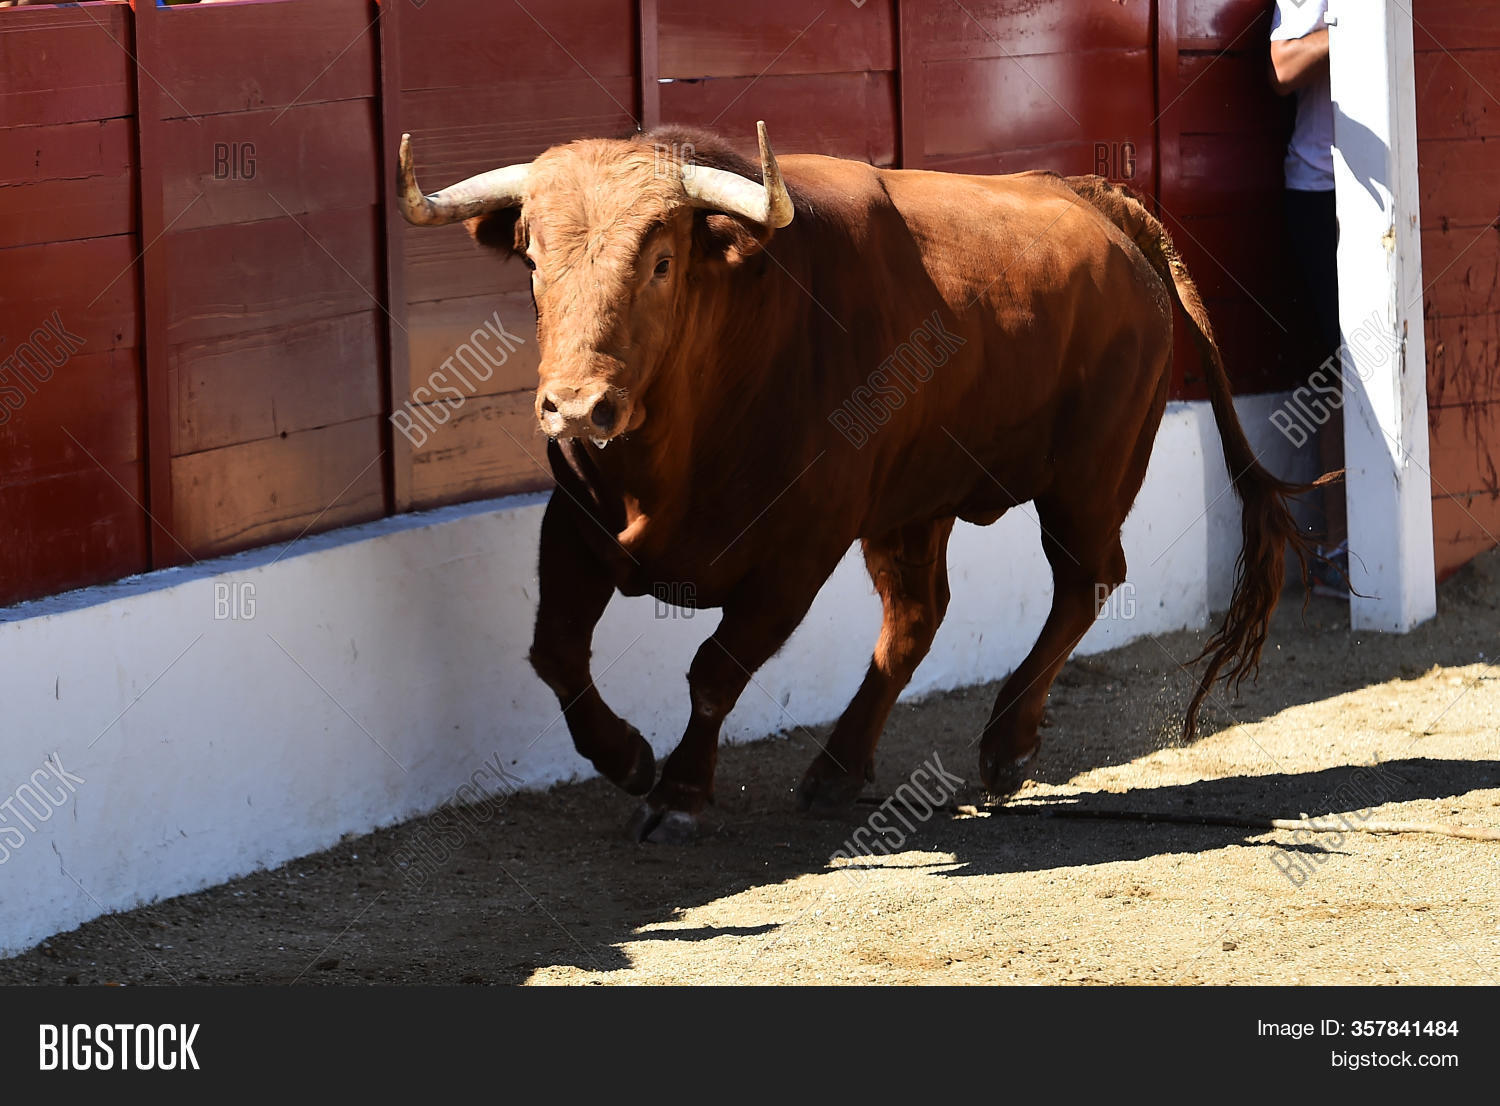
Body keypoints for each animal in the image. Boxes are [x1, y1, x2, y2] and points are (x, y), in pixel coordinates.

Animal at [397, 123, 1326, 842]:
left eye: (660, 262)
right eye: (530, 262)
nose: (578, 407)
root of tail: (1097, 200)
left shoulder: (799, 550)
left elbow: (715, 670)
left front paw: (679, 792)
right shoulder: (577, 523)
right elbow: (555, 651)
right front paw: (624, 756)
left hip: (1094, 475)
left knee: (1085, 583)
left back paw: (1005, 745)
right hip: (916, 505)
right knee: (917, 620)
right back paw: (841, 768)